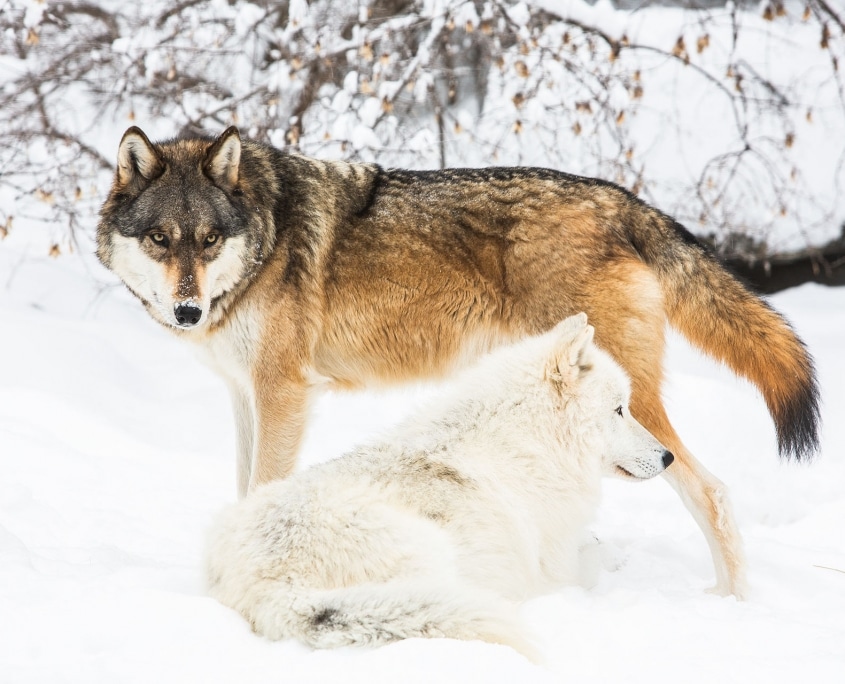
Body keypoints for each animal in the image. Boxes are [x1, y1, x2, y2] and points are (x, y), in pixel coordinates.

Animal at [97, 125, 820, 599]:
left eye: (208, 240)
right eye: (160, 239)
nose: (187, 311)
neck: (264, 237)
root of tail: (625, 200)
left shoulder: (284, 392)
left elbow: (262, 488)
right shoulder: (245, 395)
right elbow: (242, 486)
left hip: (639, 409)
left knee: (711, 491)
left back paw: (730, 604)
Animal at [205, 314, 674, 655]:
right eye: (620, 410)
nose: (667, 456)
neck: (532, 441)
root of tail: (271, 585)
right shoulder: (559, 568)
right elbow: (592, 561)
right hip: (431, 555)